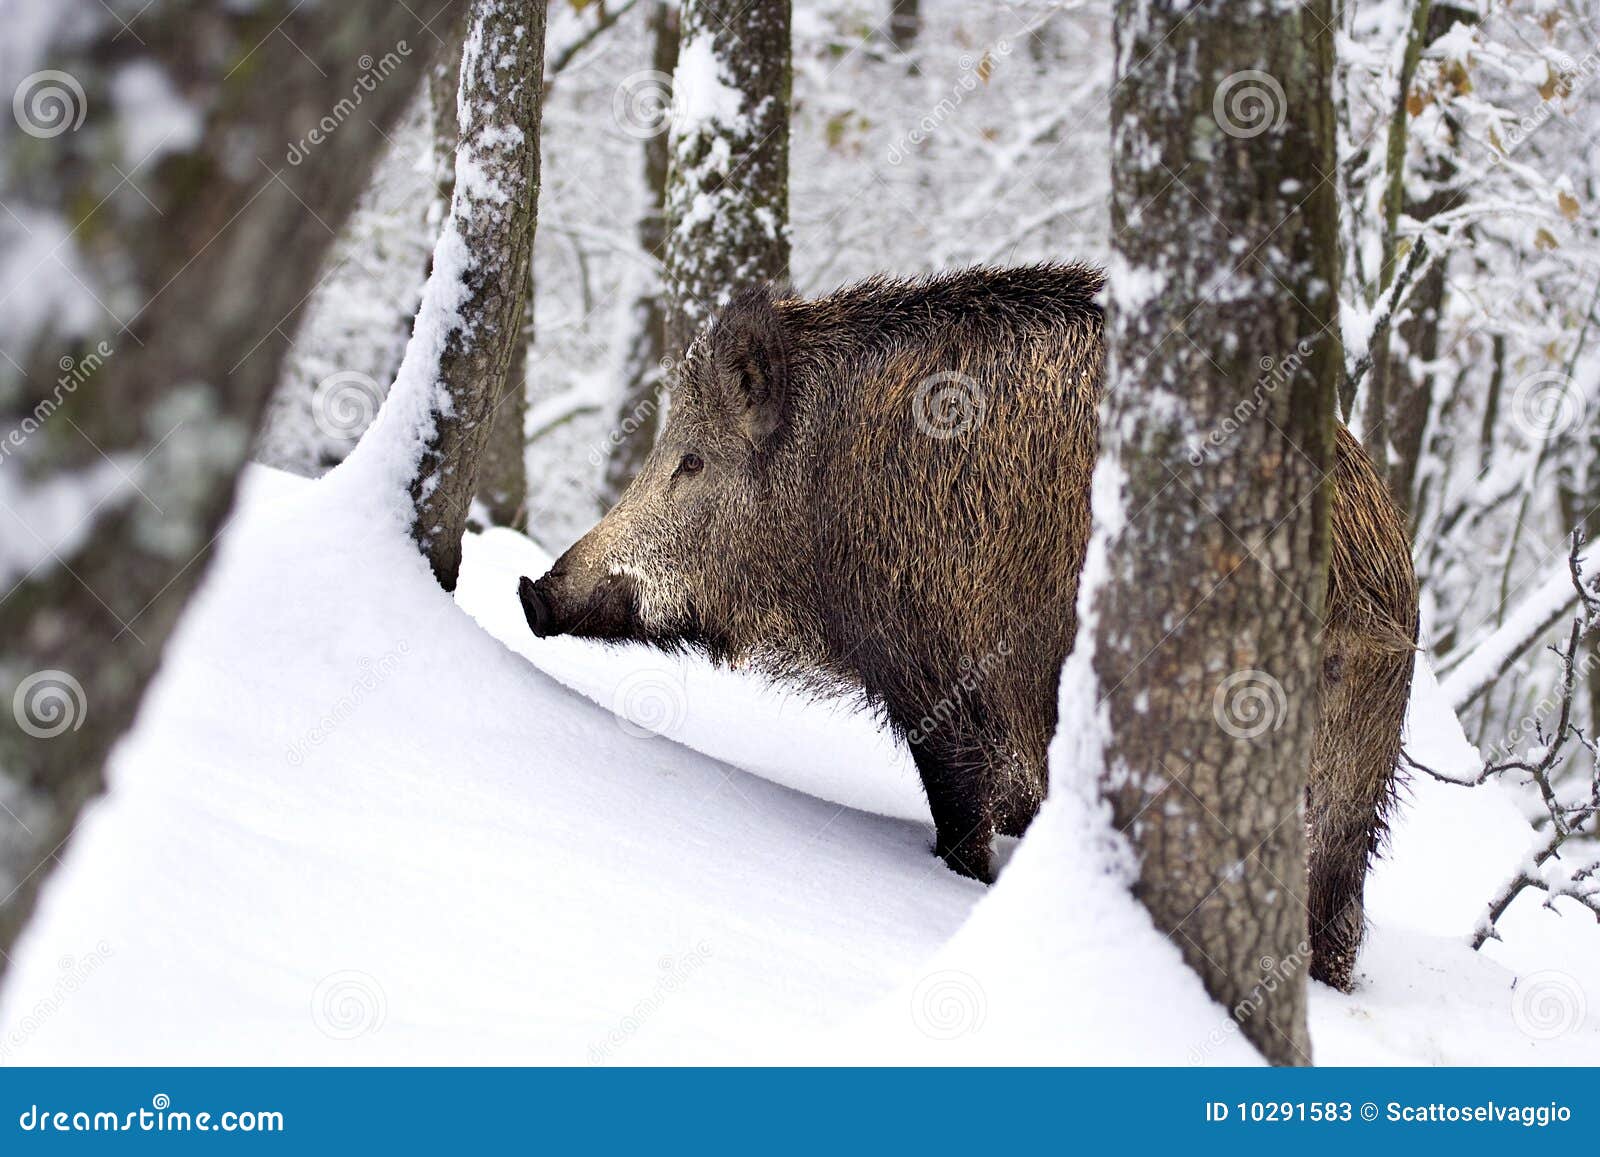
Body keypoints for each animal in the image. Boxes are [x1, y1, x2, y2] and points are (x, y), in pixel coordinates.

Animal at [519, 264, 1417, 991]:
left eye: (692, 460)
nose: (531, 593)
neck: (827, 485)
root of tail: (1377, 576)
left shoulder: (943, 674)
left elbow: (958, 805)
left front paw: (964, 883)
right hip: (1356, 790)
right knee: (1337, 919)